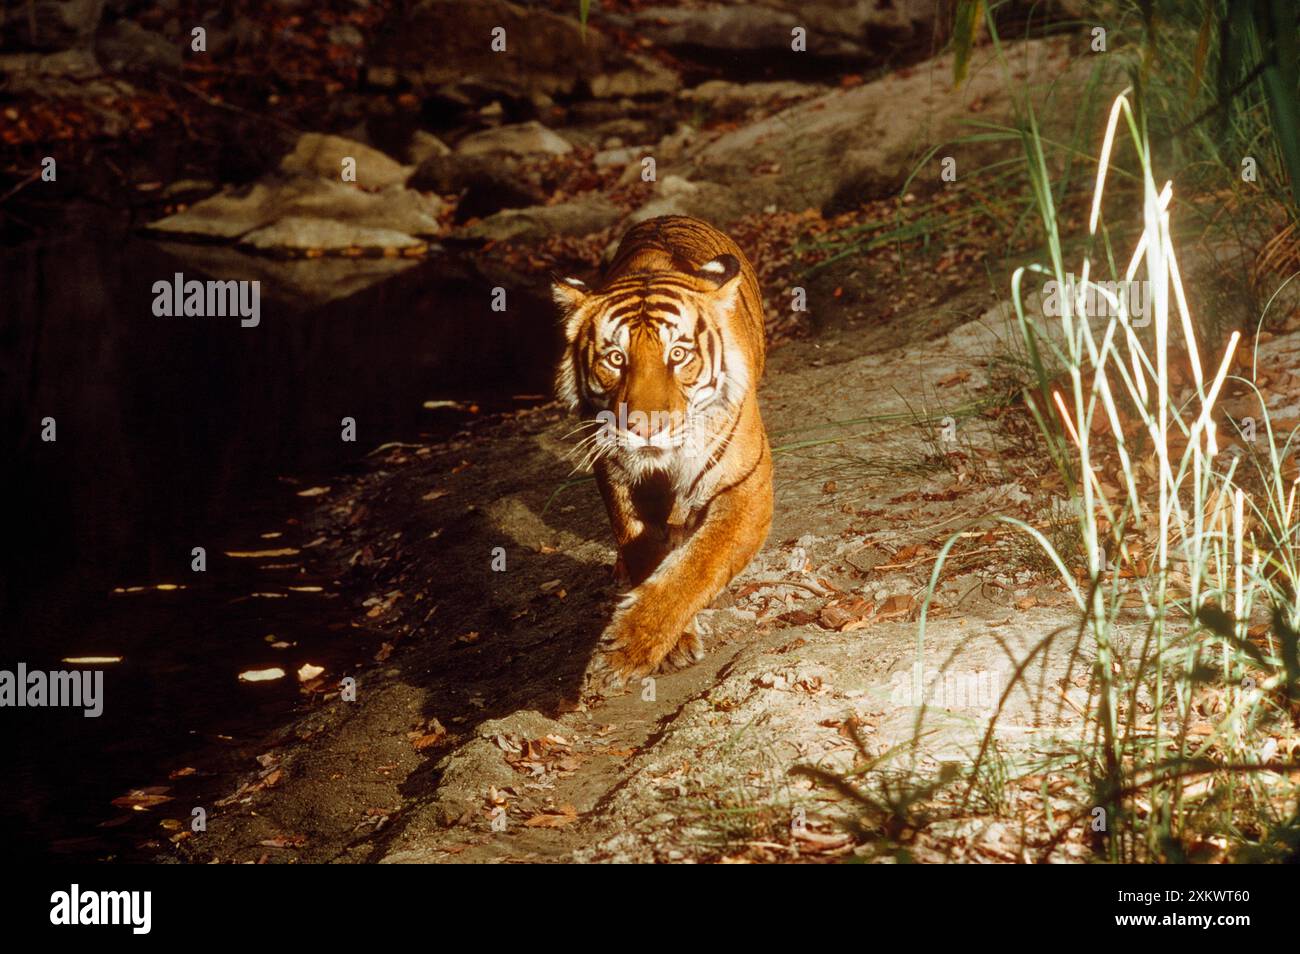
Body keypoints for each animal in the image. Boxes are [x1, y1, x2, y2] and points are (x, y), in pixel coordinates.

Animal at [553, 215, 773, 686]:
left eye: (678, 354)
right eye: (616, 359)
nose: (646, 427)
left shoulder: (745, 484)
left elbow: (702, 562)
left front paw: (629, 646)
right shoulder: (615, 475)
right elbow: (643, 549)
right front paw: (668, 642)